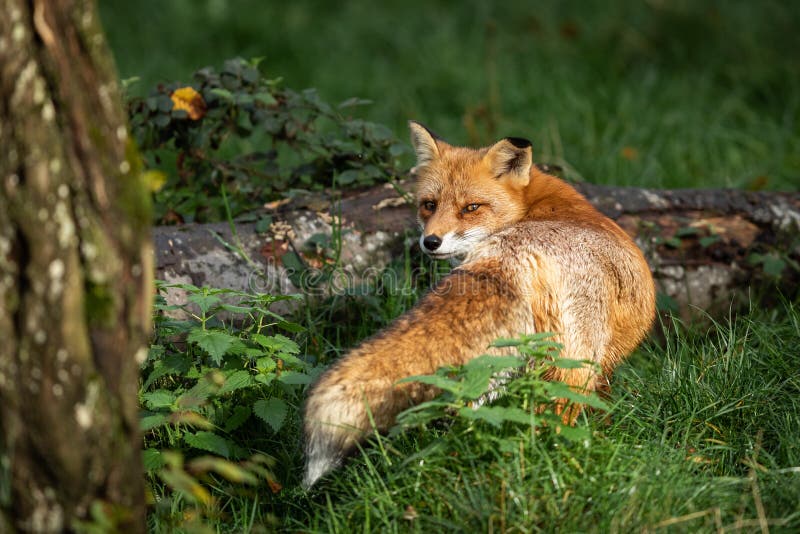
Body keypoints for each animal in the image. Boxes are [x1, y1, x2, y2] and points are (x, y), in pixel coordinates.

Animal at [301, 121, 656, 488]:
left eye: (471, 207)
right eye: (430, 204)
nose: (430, 241)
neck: (536, 207)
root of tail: (515, 251)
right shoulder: (602, 366)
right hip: (573, 368)